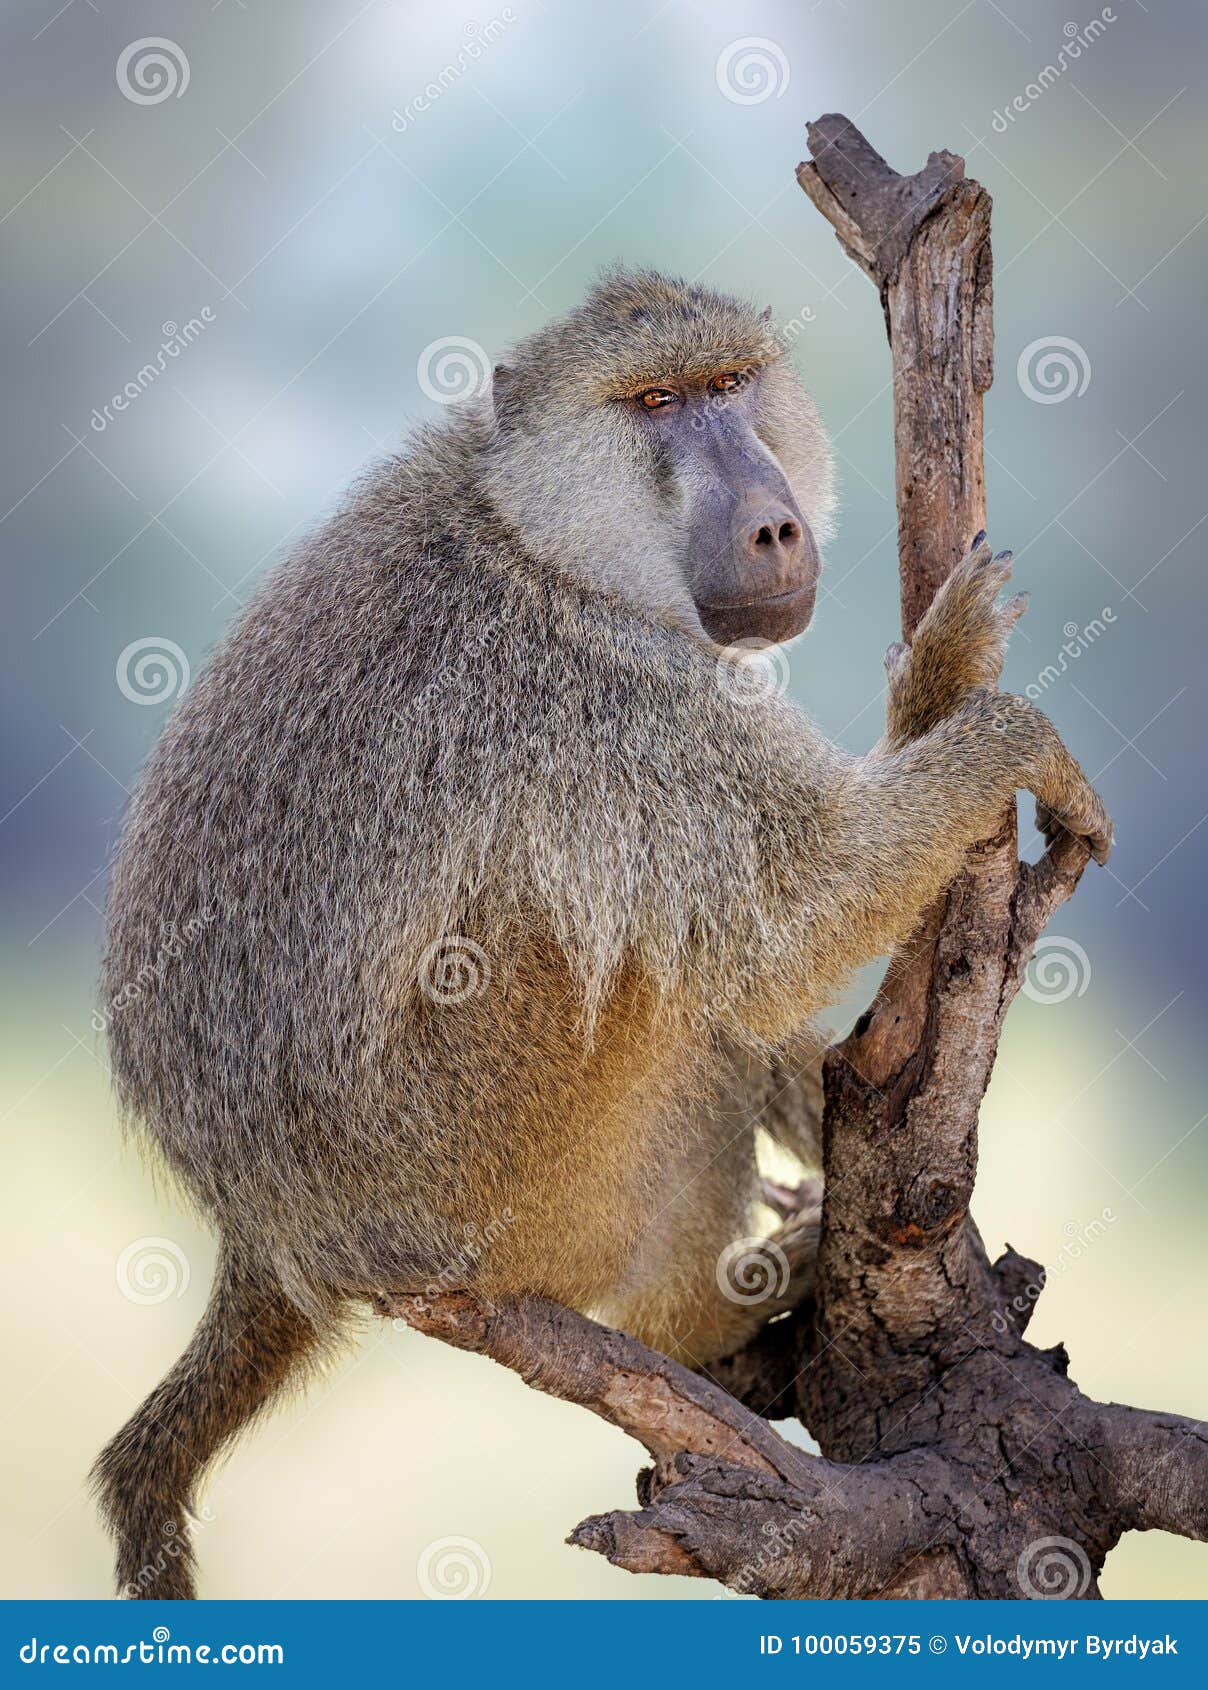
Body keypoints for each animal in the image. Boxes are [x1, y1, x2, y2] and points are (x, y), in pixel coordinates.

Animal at [92, 268, 1111, 1599]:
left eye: (729, 383)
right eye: (656, 404)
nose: (773, 526)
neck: (532, 532)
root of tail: (269, 1235)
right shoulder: (613, 689)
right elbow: (790, 916)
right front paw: (974, 700)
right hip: (489, 1182)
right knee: (644, 970)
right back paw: (700, 1320)